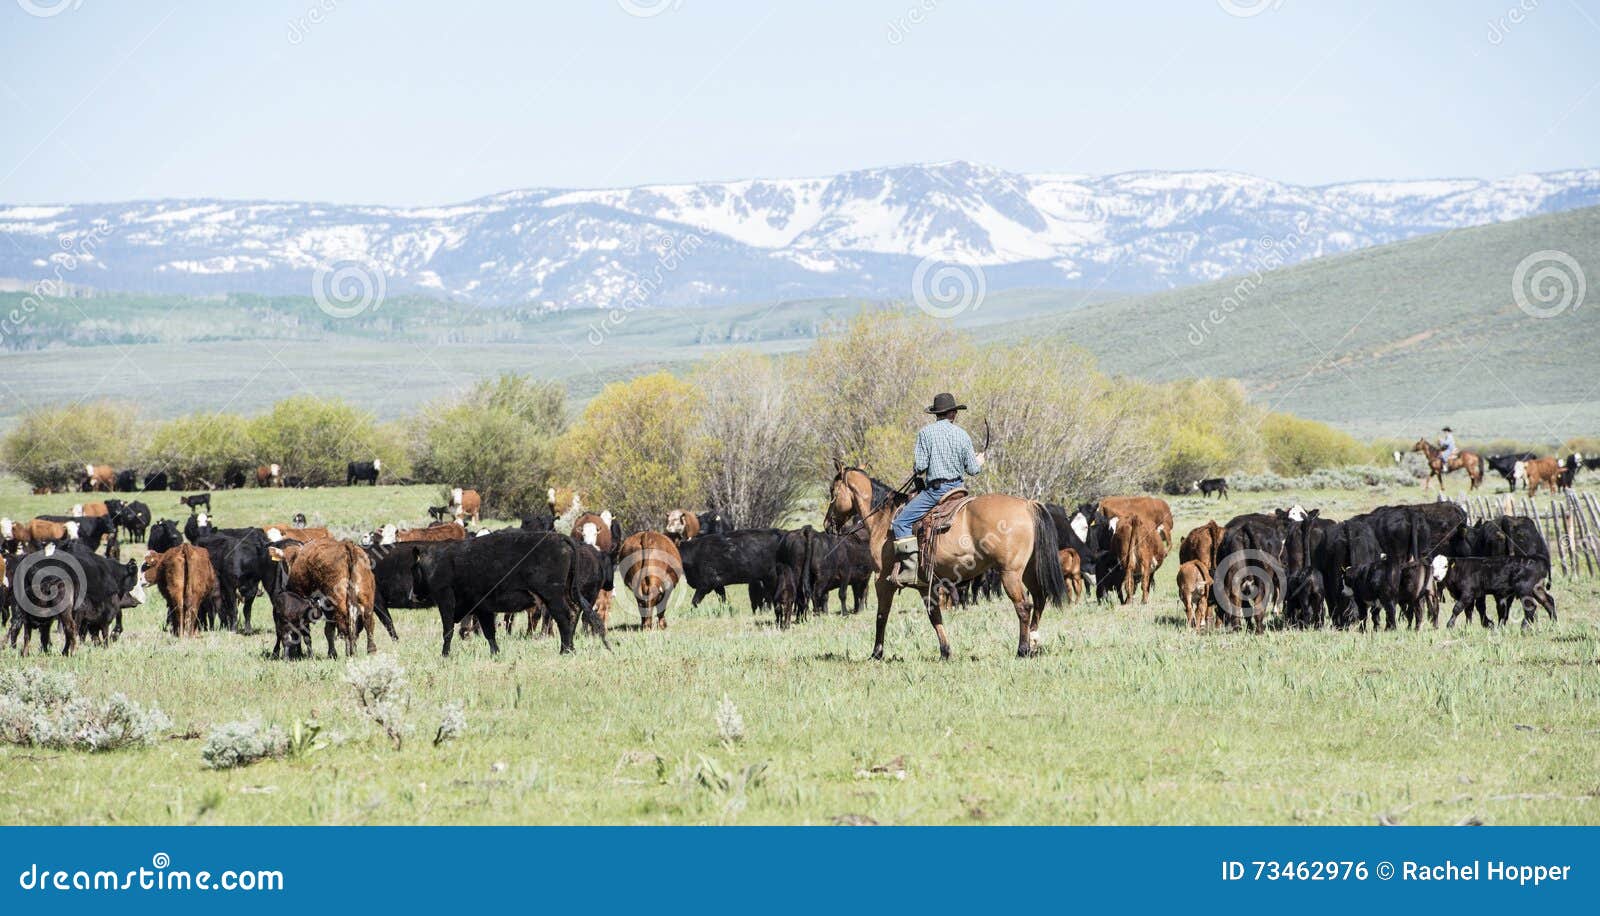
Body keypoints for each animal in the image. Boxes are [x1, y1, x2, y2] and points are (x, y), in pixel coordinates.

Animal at [421, 529, 604, 655]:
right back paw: (570, 649)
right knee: (573, 613)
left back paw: (565, 651)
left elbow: (448, 630)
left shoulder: (446, 602)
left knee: (565, 617)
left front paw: (445, 655)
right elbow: (488, 632)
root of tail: (560, 538)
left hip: (553, 598)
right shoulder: (482, 609)